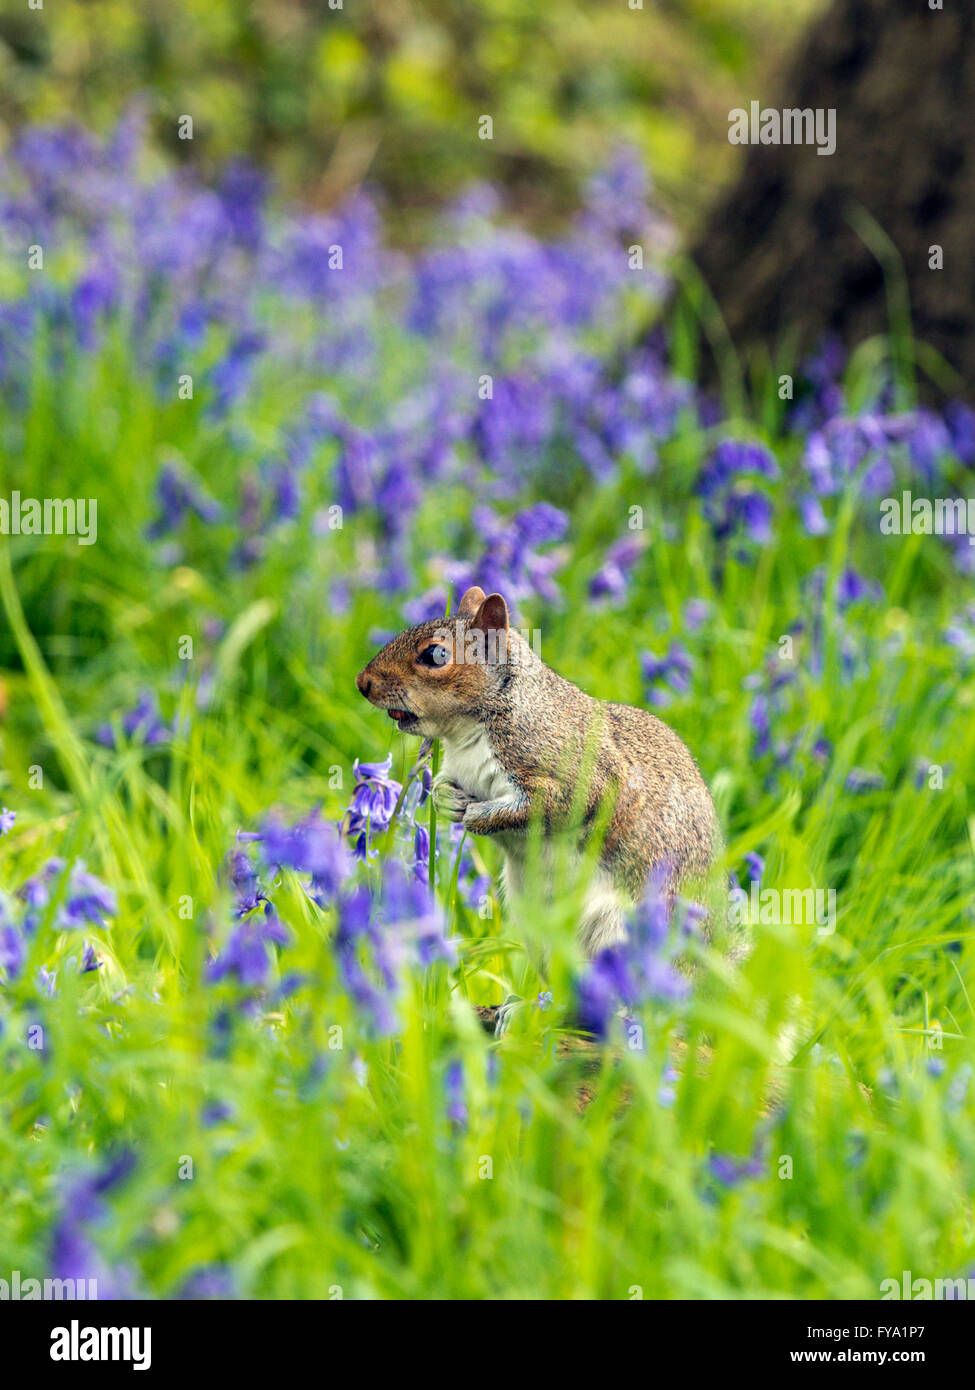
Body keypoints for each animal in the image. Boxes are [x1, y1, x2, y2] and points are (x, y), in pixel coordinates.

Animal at [355, 586, 720, 958]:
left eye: (437, 654)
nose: (362, 682)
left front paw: (478, 816)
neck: (469, 730)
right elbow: (443, 784)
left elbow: (553, 804)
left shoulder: (573, 770)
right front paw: (449, 803)